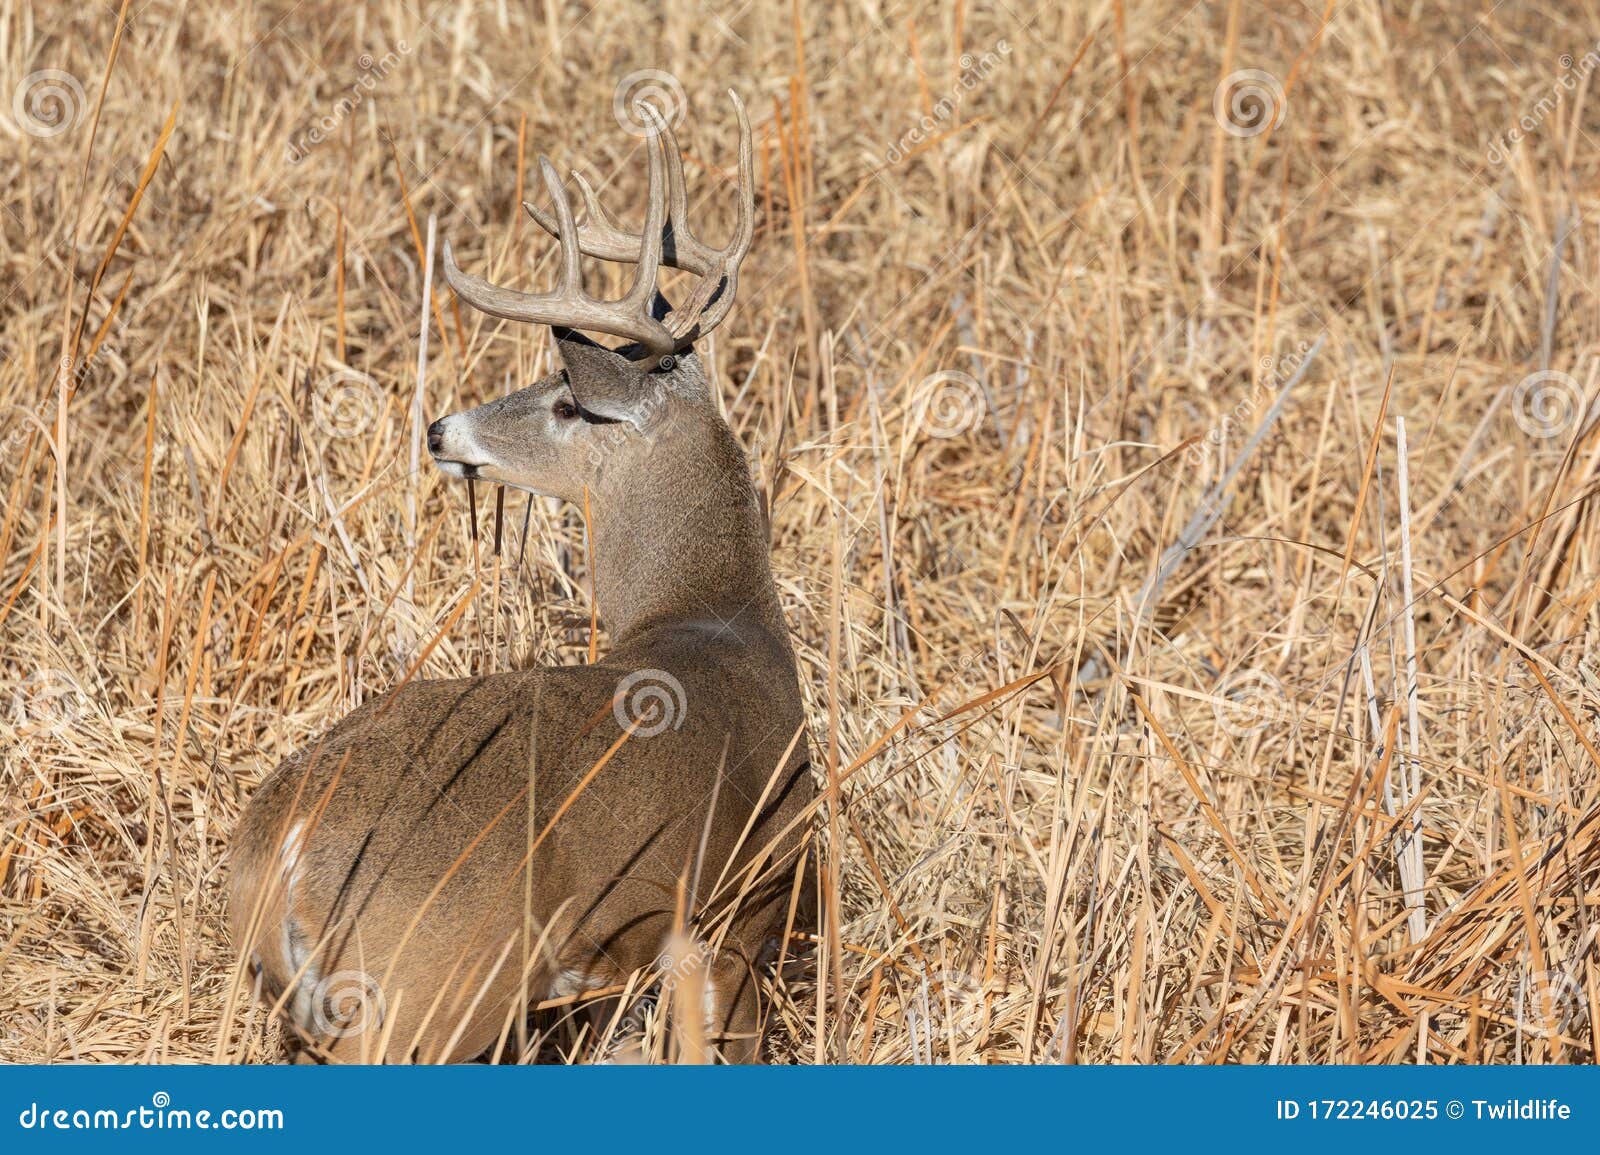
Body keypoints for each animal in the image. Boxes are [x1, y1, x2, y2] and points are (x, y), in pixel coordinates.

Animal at [229, 92, 815, 1064]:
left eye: (567, 400)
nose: (440, 428)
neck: (714, 612)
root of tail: (287, 849)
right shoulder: (737, 909)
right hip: (434, 992)